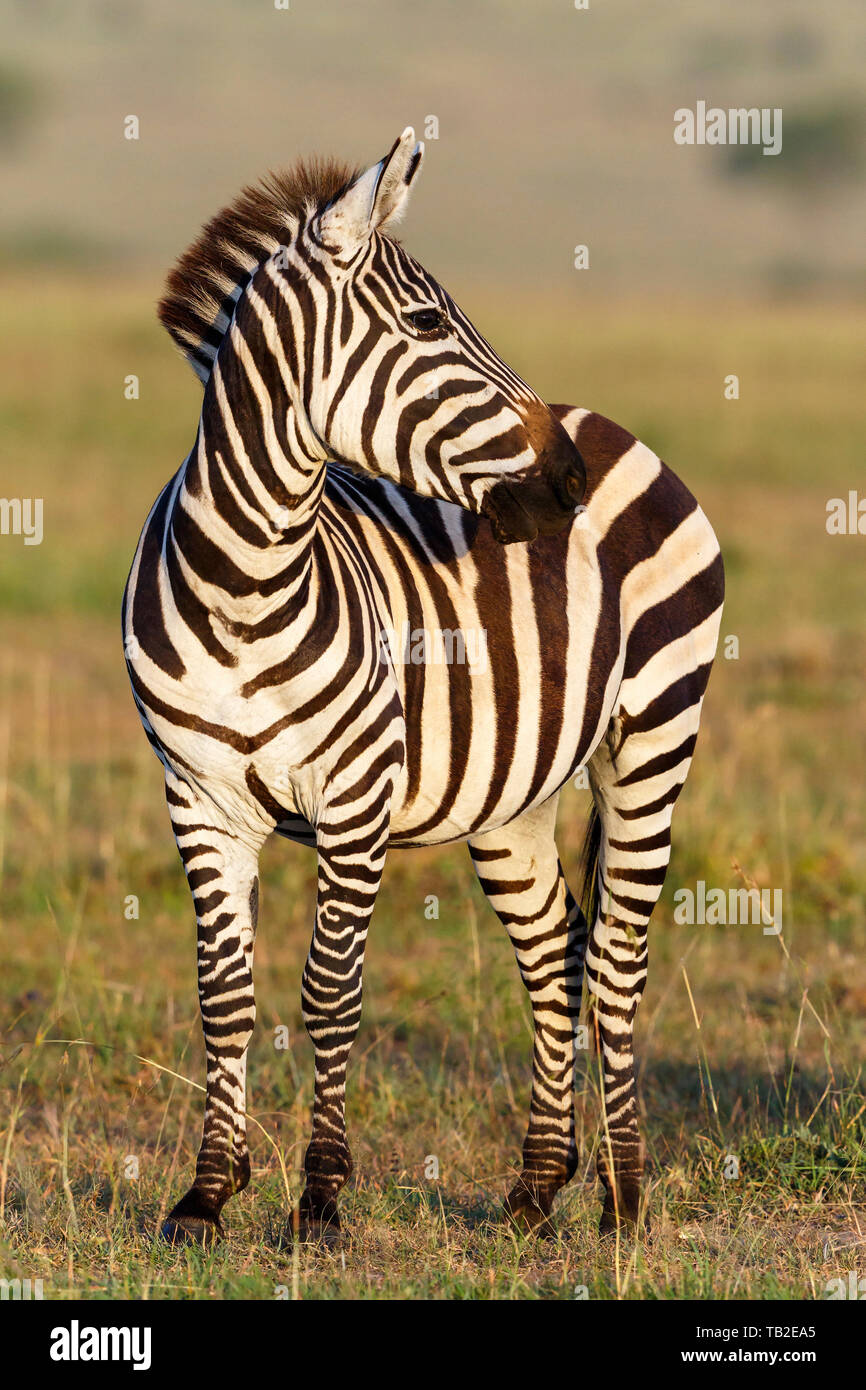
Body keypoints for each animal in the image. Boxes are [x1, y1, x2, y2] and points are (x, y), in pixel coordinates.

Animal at [123, 127, 724, 1246]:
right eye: (427, 323)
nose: (567, 483)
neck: (244, 583)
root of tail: (606, 423)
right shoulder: (198, 799)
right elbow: (224, 994)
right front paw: (206, 1195)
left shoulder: (355, 796)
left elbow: (329, 991)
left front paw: (319, 1198)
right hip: (511, 795)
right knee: (554, 951)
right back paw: (537, 1186)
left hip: (654, 735)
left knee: (618, 956)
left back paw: (622, 1197)